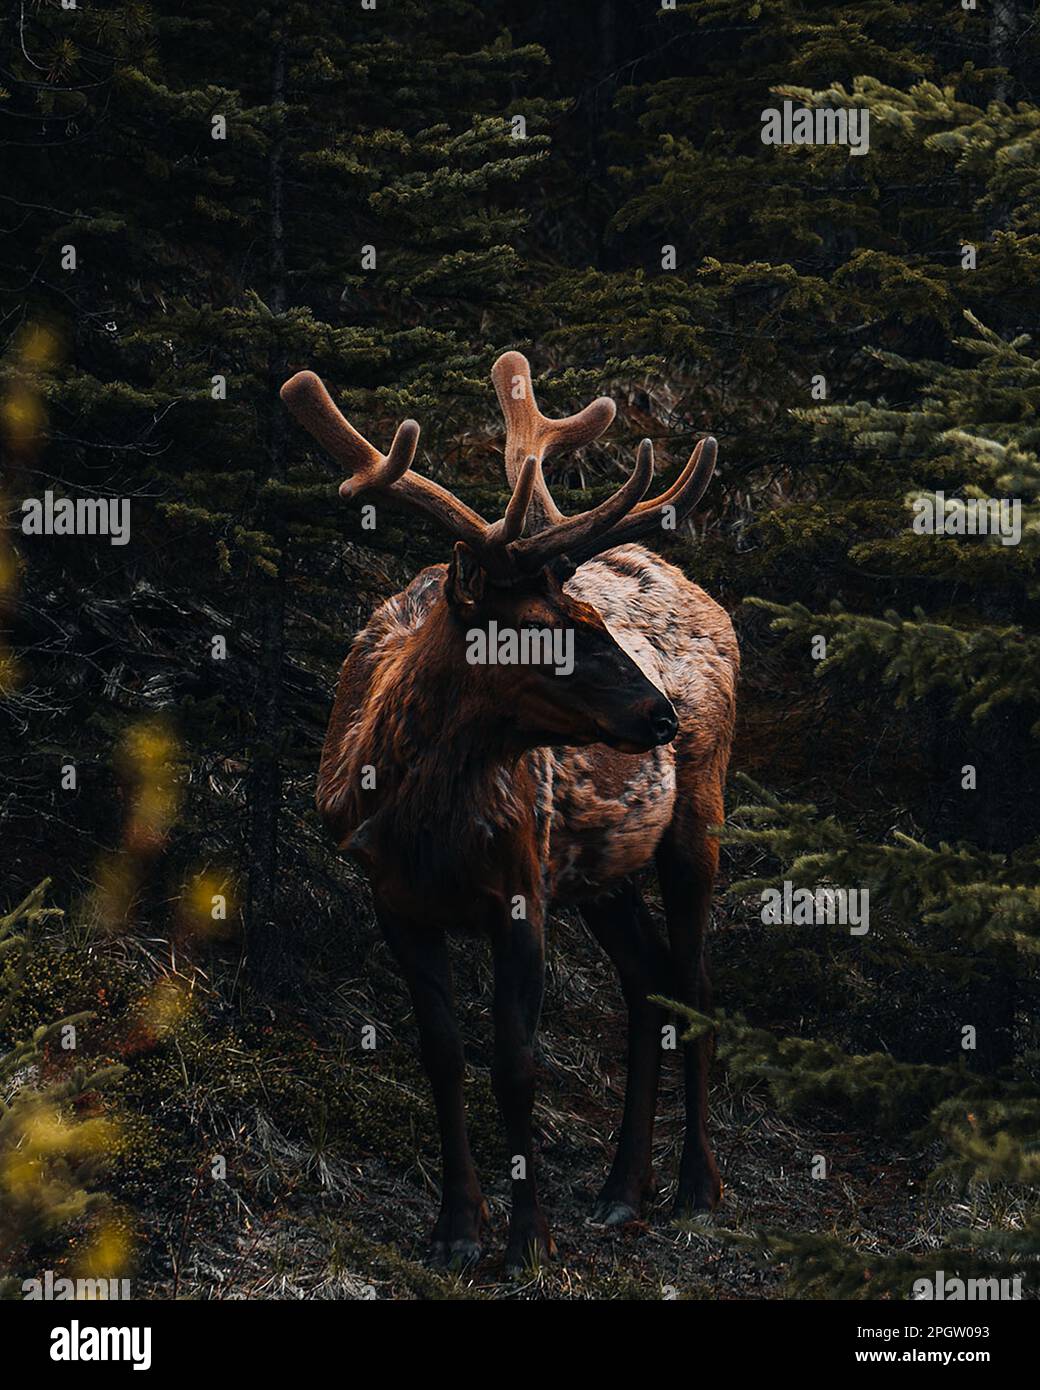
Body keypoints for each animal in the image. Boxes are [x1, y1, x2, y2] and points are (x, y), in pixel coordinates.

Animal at [280, 352, 739, 1274]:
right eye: (543, 628)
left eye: (591, 617)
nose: (661, 714)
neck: (424, 822)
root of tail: (715, 604)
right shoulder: (391, 898)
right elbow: (444, 1055)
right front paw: (458, 1228)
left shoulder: (521, 885)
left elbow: (518, 1063)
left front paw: (528, 1238)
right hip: (601, 870)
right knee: (646, 980)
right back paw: (619, 1192)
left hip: (694, 821)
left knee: (697, 985)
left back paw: (696, 1191)